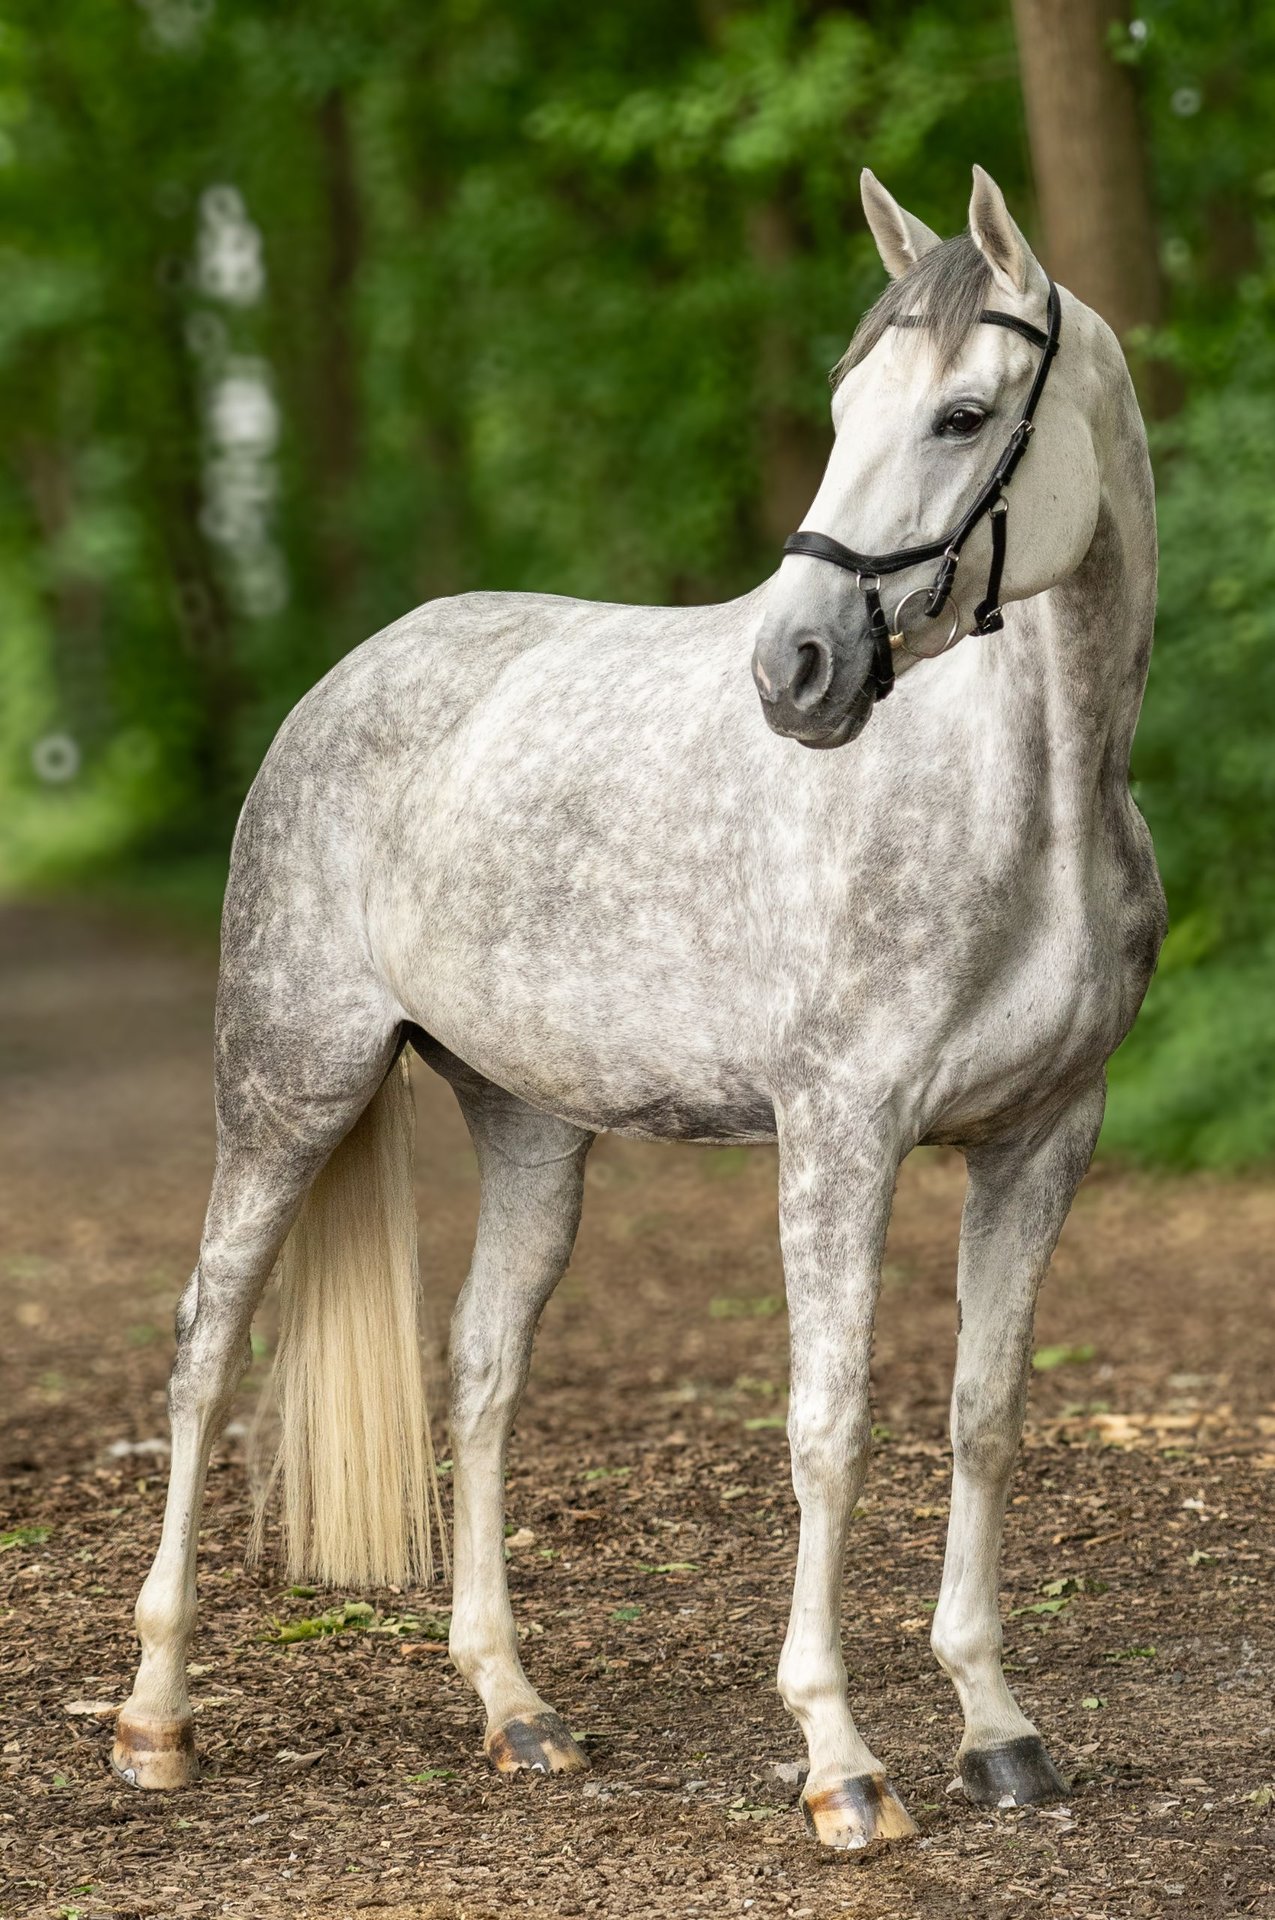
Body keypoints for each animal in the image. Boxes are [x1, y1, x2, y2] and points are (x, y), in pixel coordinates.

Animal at [113, 164, 1165, 1852]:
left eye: (960, 415)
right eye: (841, 402)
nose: (796, 667)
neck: (1032, 812)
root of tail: (346, 680)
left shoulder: (1042, 1138)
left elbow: (981, 1414)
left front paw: (997, 1728)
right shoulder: (838, 1136)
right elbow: (826, 1425)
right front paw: (839, 1761)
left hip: (527, 1129)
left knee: (479, 1370)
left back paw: (514, 1710)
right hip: (287, 1085)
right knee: (207, 1350)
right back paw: (155, 1719)